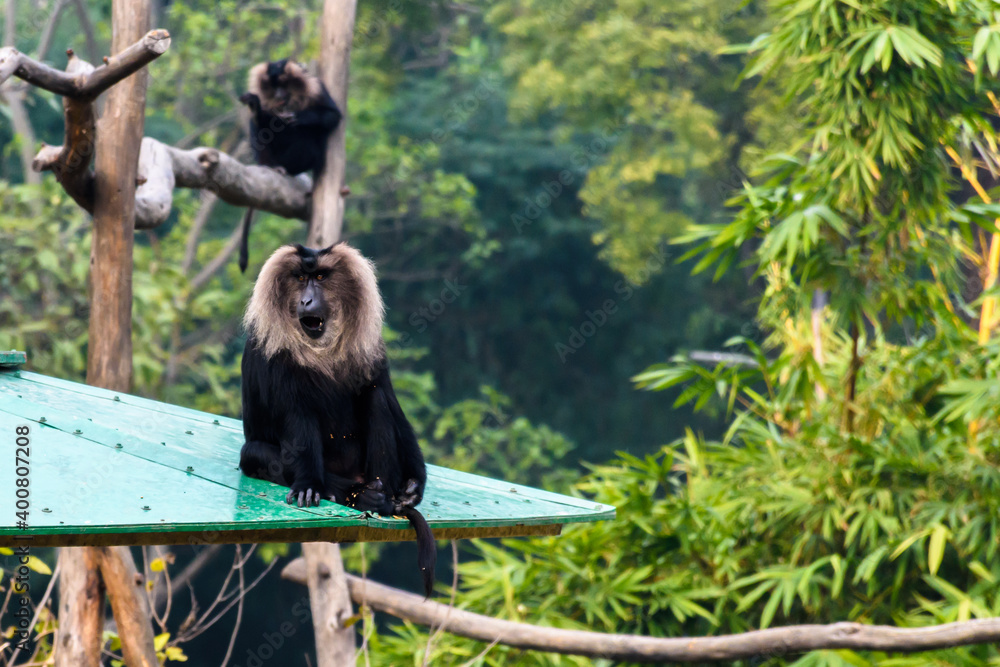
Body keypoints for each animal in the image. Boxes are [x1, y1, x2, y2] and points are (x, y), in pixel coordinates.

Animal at [237, 59, 343, 273]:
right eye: (273, 86)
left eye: (284, 84)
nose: (278, 96)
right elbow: (262, 122)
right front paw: (256, 108)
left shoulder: (317, 88)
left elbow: (332, 115)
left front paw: (299, 117)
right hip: (266, 155)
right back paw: (272, 165)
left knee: (308, 143)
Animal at [239, 242, 436, 596]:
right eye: (300, 278)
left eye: (320, 278)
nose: (306, 300)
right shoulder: (276, 356)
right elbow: (297, 419)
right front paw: (309, 487)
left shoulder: (373, 349)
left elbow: (388, 399)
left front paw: (415, 483)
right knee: (254, 454)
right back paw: (352, 493)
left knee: (376, 399)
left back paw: (381, 497)